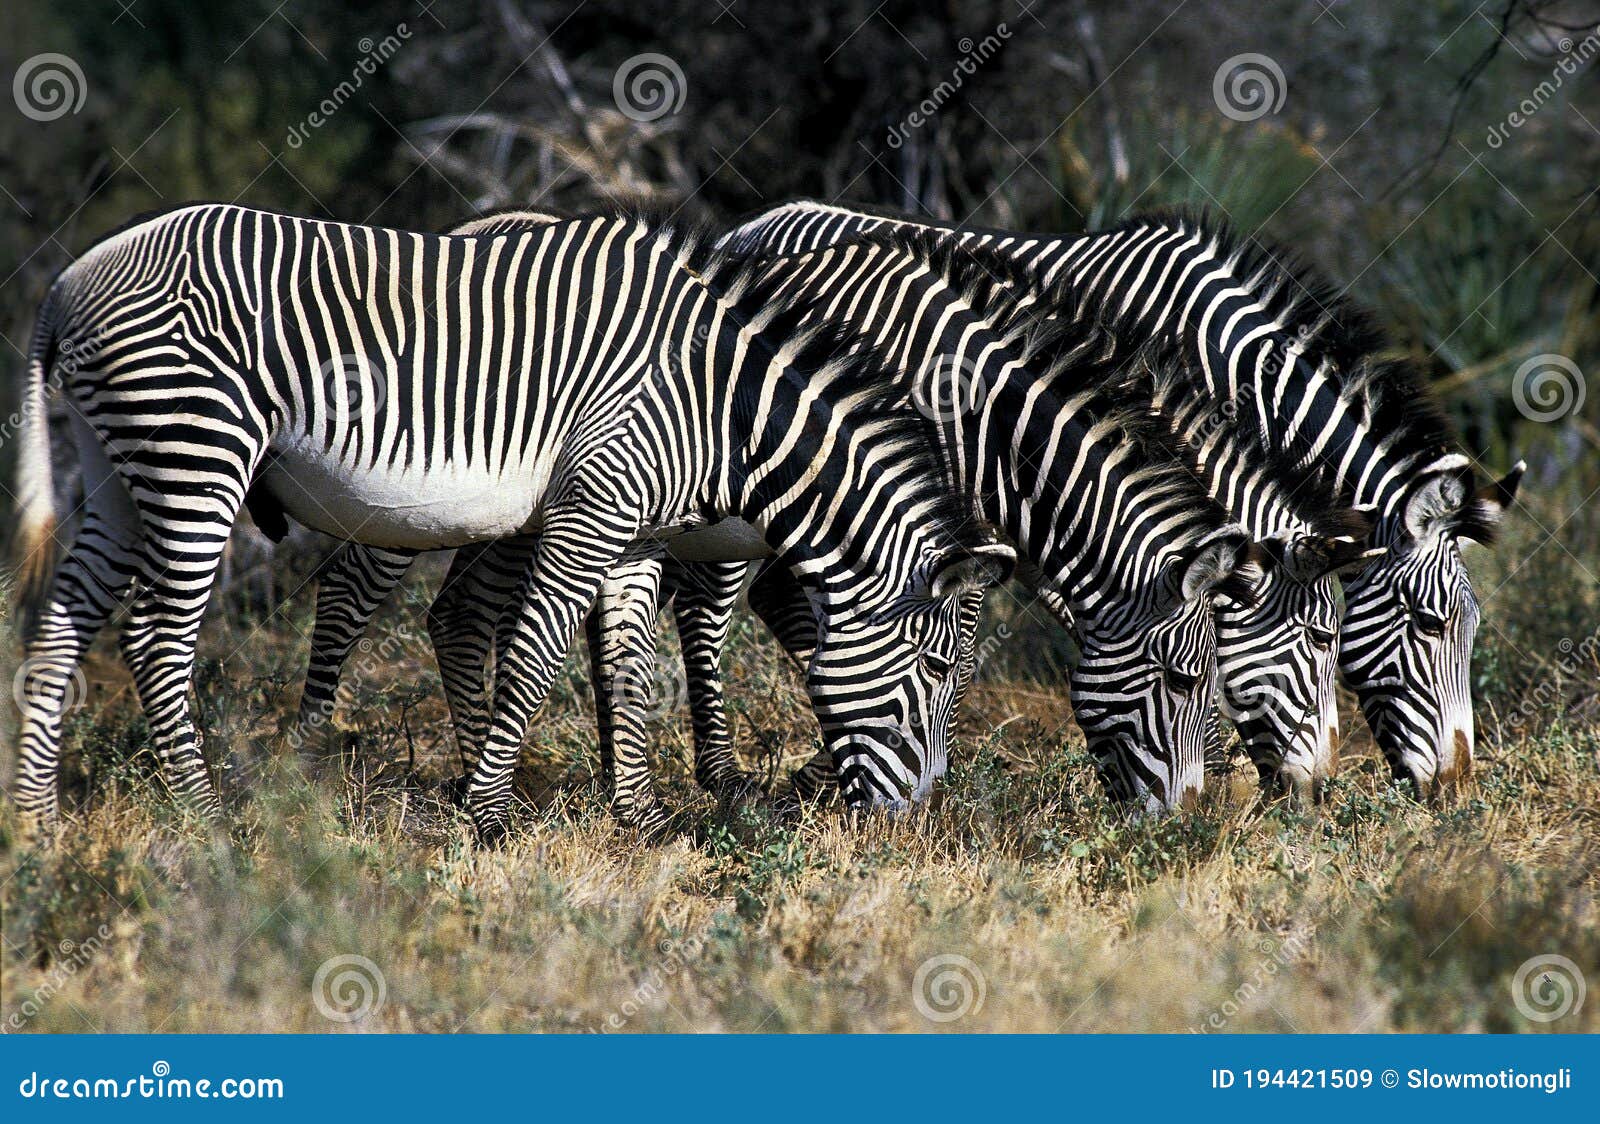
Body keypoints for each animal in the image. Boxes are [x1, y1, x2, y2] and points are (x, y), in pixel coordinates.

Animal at [10, 203, 1014, 841]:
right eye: (936, 670)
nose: (915, 825)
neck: (717, 401)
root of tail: (68, 281)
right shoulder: (592, 509)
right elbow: (533, 657)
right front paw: (489, 816)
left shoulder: (641, 533)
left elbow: (625, 667)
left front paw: (641, 817)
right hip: (194, 450)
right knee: (154, 637)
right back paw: (203, 815)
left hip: (118, 468)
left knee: (63, 625)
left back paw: (36, 820)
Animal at [287, 219, 1313, 813]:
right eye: (1183, 681)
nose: (1195, 822)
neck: (977, 411)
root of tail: (481, 219)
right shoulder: (926, 525)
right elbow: (921, 643)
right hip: (424, 493)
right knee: (351, 589)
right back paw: (309, 763)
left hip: (519, 512)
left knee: (463, 611)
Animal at [722, 200, 1525, 795]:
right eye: (1430, 625)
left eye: (1473, 629)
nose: (1456, 788)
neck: (1226, 362)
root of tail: (756, 221)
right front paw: (1215, 770)